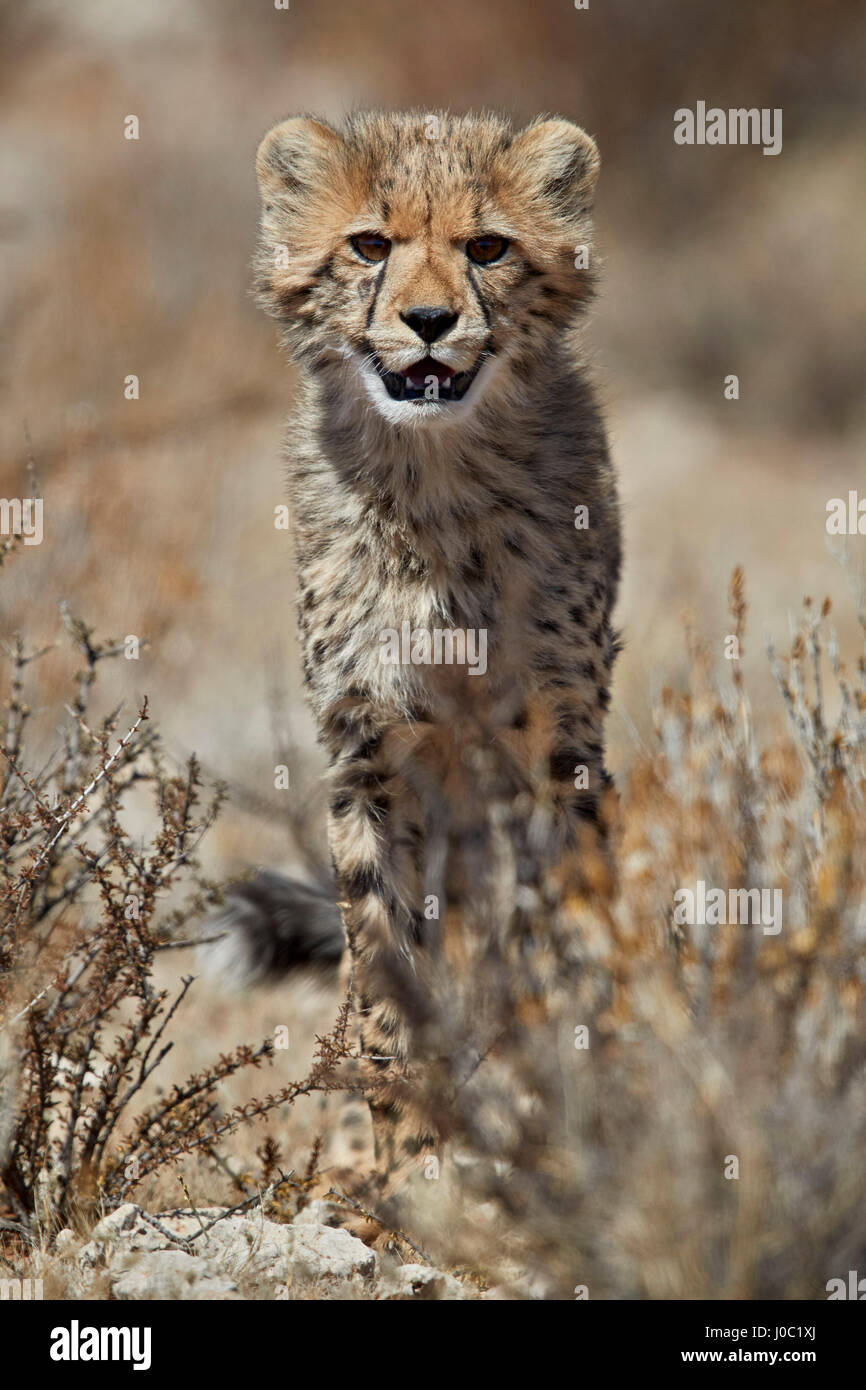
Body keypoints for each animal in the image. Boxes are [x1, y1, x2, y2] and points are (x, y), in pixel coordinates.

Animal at [211, 108, 621, 1224]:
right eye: (369, 245)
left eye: (487, 247)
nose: (430, 320)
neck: (437, 486)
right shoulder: (370, 757)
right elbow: (388, 983)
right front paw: (404, 1168)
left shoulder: (558, 755)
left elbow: (548, 960)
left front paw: (546, 1129)